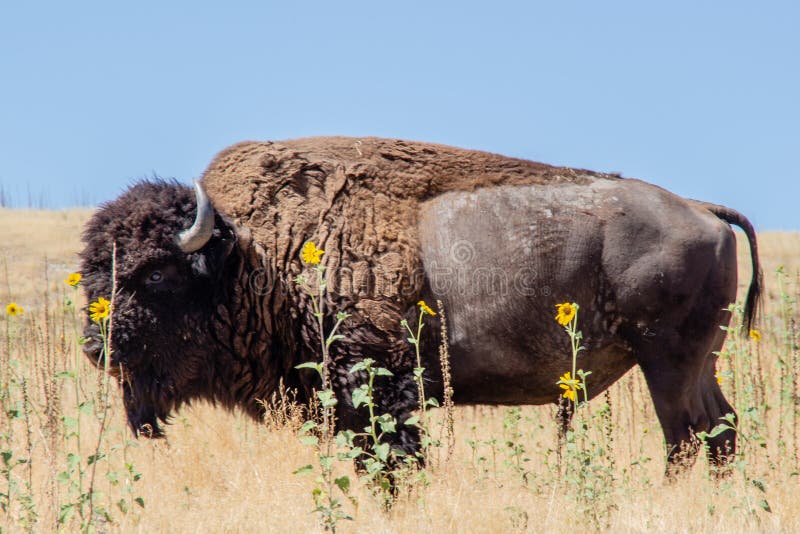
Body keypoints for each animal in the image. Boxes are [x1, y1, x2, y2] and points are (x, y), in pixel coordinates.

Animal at [80, 136, 761, 472]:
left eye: (157, 273)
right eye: (92, 272)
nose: (96, 348)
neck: (255, 256)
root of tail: (704, 211)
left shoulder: (377, 386)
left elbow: (393, 458)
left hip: (666, 362)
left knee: (686, 438)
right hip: (698, 363)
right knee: (720, 431)